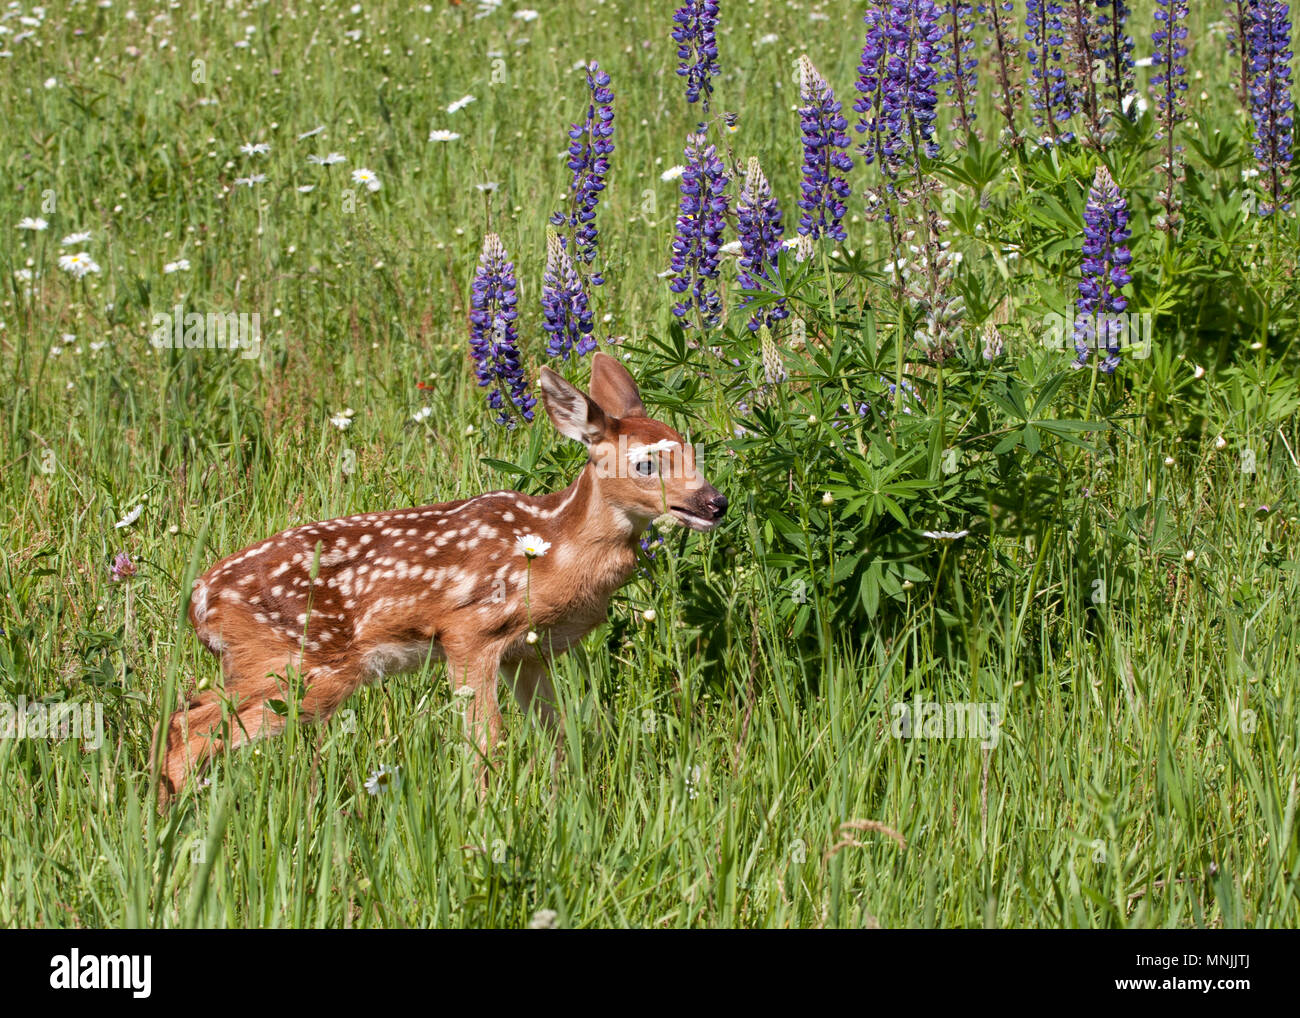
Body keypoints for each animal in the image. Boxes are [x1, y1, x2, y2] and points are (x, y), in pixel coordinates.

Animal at [154, 352, 727, 800]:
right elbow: (485, 743)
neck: (554, 548)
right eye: (646, 464)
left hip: (260, 666)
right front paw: (485, 814)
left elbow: (560, 736)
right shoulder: (470, 630)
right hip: (302, 665)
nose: (715, 503)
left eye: (691, 449)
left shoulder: (530, 652)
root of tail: (200, 599)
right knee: (193, 731)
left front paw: (570, 803)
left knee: (189, 715)